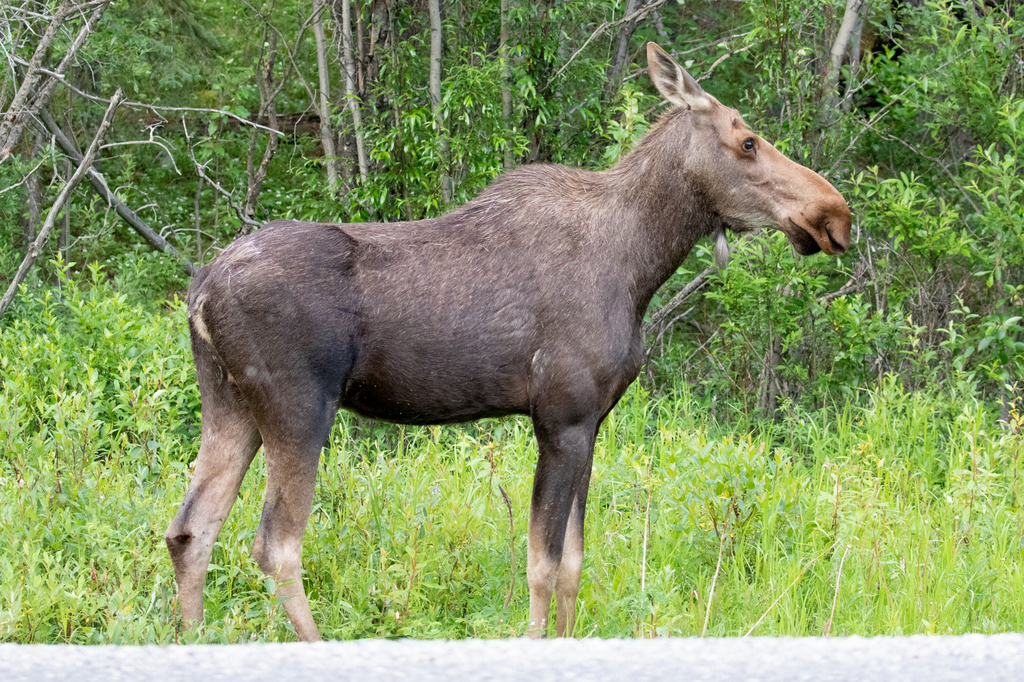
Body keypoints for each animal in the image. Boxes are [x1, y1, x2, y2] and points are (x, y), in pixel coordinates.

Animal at [165, 43, 851, 641]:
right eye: (747, 141)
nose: (836, 214)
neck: (641, 264)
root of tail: (200, 290)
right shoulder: (561, 417)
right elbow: (542, 565)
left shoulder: (590, 423)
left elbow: (573, 563)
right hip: (298, 407)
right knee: (275, 545)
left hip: (231, 404)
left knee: (191, 529)